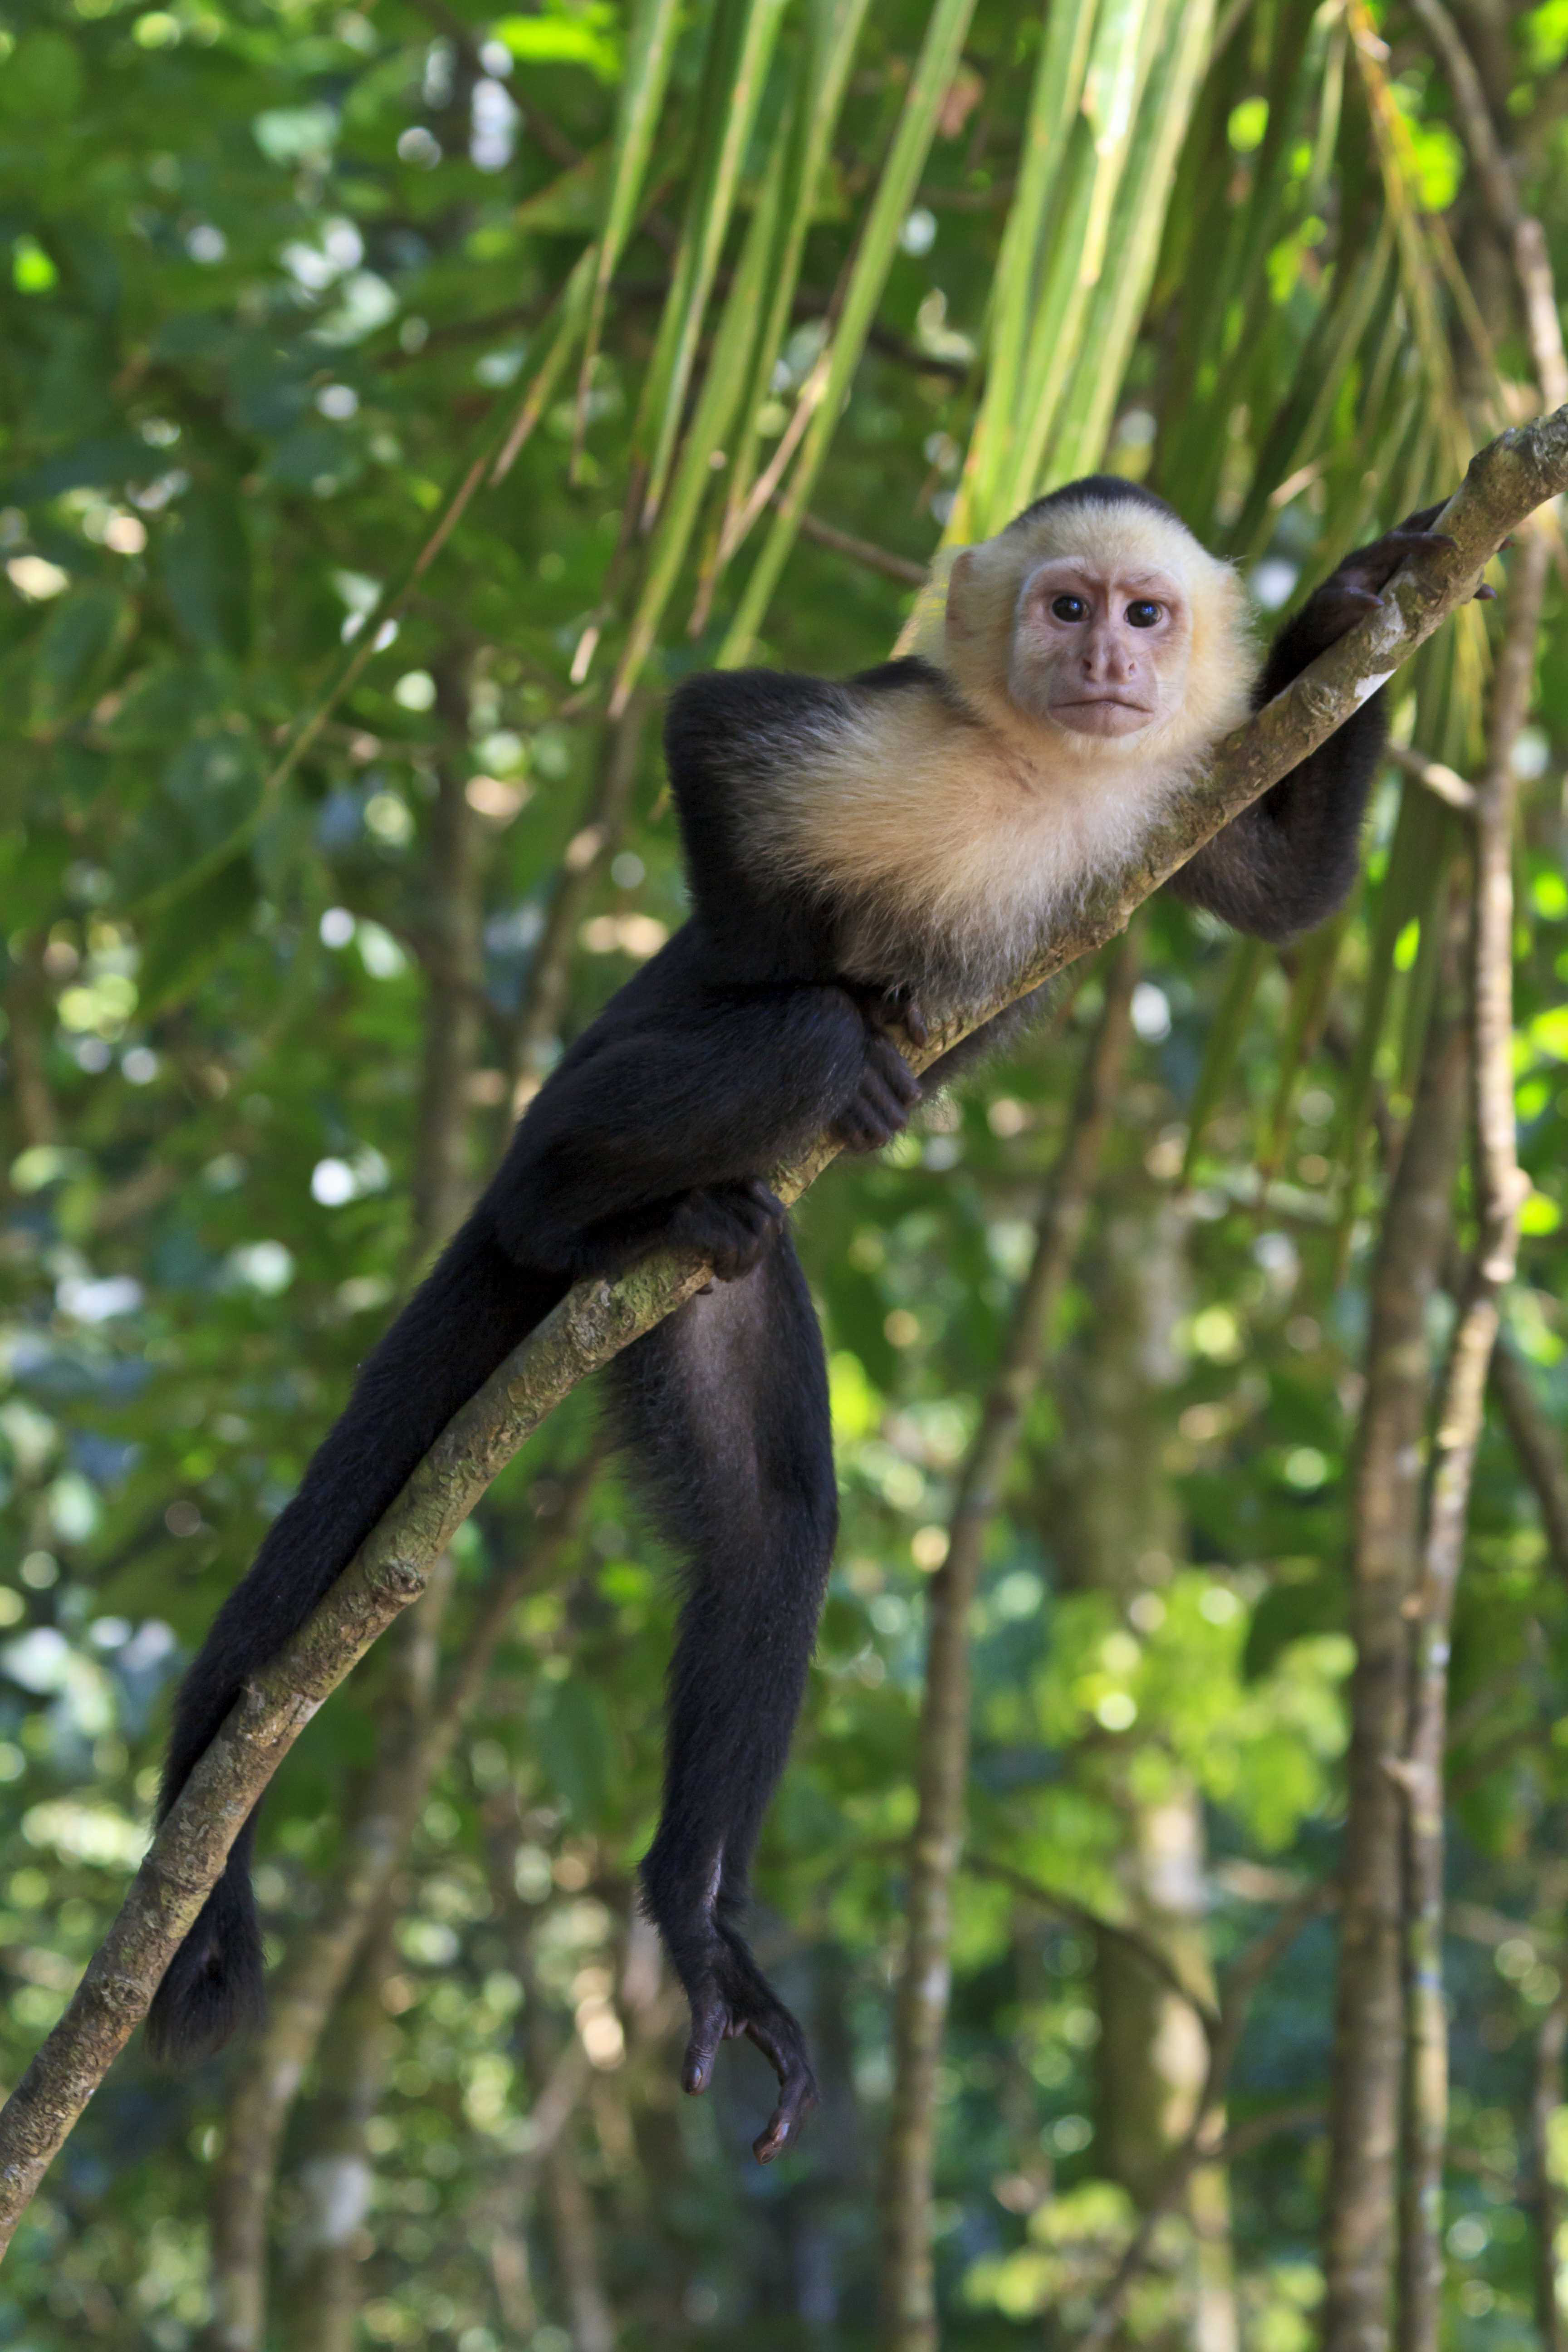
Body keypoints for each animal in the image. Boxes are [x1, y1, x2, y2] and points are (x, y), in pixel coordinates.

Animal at [148, 475, 1470, 2163]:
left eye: (1145, 613)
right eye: (1063, 606)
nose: (1105, 659)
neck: (1047, 769)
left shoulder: (1175, 787)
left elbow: (1287, 897)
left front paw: (1354, 600)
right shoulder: (896, 739)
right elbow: (712, 739)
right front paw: (837, 997)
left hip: (713, 1292)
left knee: (773, 1526)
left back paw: (695, 1919)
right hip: (590, 1102)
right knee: (753, 1058)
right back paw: (594, 1197)